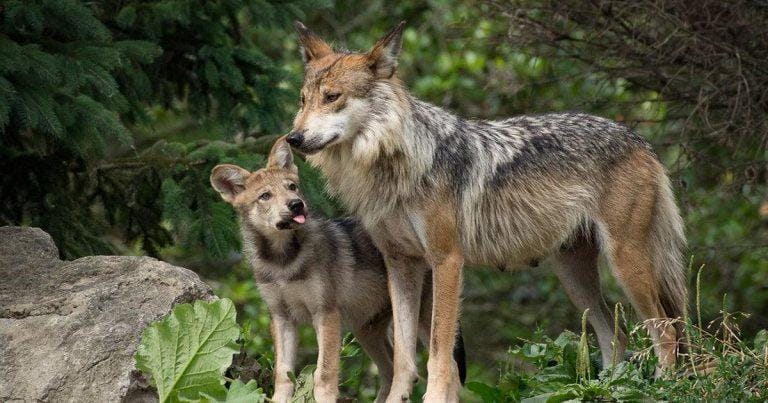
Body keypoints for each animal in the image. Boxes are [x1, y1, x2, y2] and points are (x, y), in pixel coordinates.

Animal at [210, 138, 465, 403]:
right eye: (265, 196)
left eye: (292, 187)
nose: (296, 204)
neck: (284, 262)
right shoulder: (281, 318)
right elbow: (282, 374)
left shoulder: (326, 313)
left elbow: (323, 374)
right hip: (367, 330)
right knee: (391, 371)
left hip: (424, 321)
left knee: (449, 369)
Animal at [286, 21, 688, 402]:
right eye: (303, 100)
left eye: (332, 97)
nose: (293, 138)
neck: (395, 165)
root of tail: (639, 140)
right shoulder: (400, 264)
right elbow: (403, 356)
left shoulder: (447, 261)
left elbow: (440, 352)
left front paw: (435, 397)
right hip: (575, 278)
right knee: (617, 337)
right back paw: (608, 388)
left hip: (624, 264)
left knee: (666, 331)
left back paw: (664, 388)